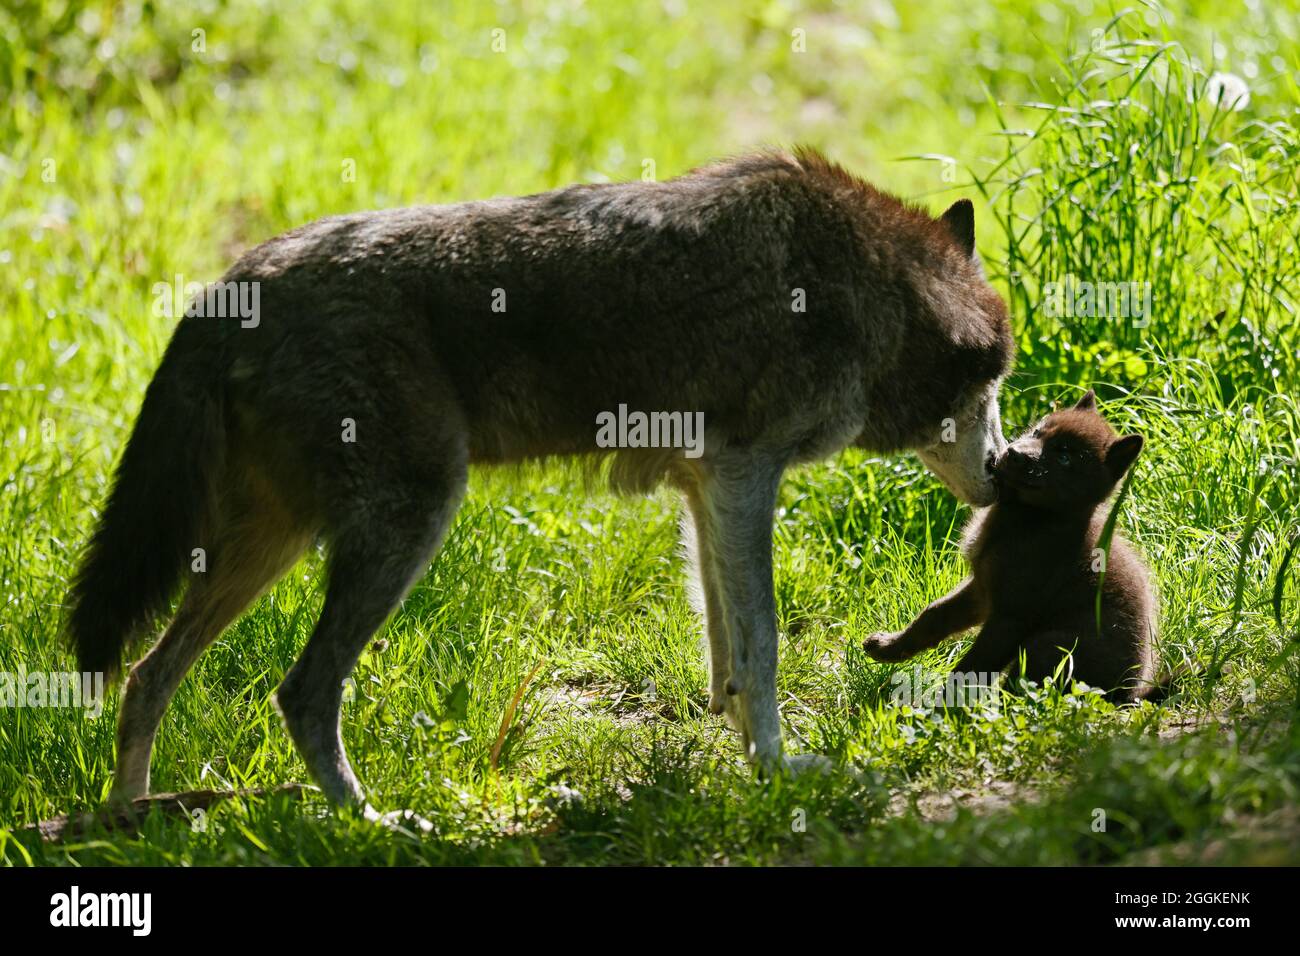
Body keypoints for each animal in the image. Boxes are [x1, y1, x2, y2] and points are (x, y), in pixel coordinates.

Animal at [66, 148, 1013, 815]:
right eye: (991, 390)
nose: (1008, 469)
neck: (868, 284)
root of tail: (229, 287)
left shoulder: (706, 485)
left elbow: (727, 659)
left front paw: (749, 754)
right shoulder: (746, 473)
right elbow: (766, 645)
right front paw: (786, 773)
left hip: (268, 547)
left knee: (146, 677)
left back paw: (127, 824)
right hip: (403, 526)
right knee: (301, 692)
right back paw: (375, 823)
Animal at [863, 390, 1162, 702]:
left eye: (1065, 457)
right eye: (1038, 431)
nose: (1015, 453)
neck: (1032, 517)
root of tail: (1131, 694)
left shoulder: (1011, 615)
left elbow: (973, 667)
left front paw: (938, 707)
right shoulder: (981, 589)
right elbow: (933, 616)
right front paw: (888, 646)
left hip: (1048, 645)